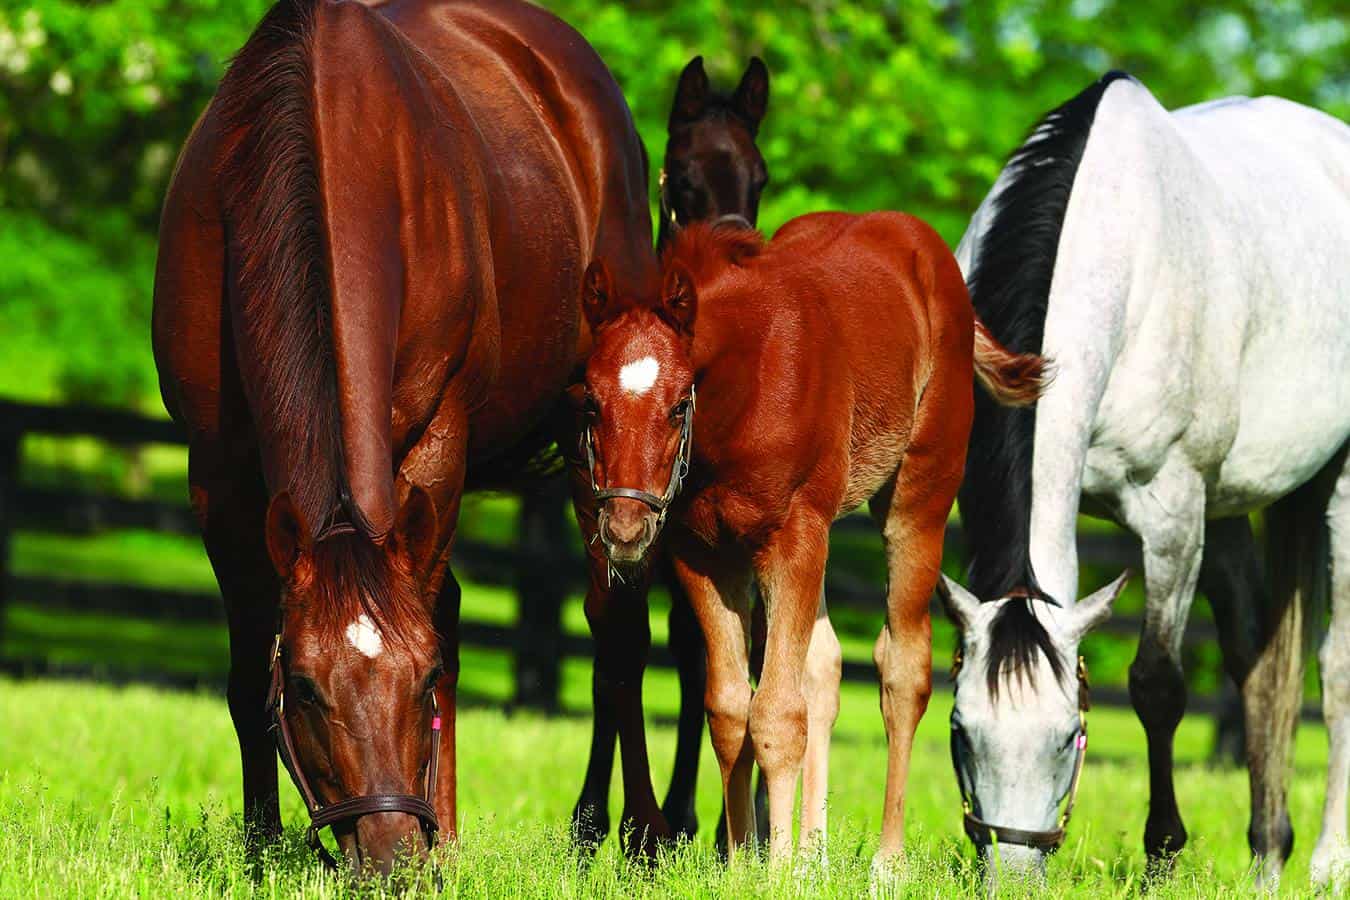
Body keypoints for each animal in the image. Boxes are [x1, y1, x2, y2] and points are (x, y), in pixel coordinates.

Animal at [151, 0, 654, 875]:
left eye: (419, 682)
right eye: (306, 687)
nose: (391, 858)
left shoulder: (438, 439)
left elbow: (445, 631)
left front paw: (443, 839)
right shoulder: (216, 473)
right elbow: (247, 674)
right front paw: (258, 850)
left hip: (596, 446)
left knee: (613, 625)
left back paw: (617, 833)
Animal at [570, 53, 772, 853]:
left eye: (760, 176)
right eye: (680, 177)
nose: (735, 257)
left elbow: (698, 651)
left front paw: (690, 822)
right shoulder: (612, 535)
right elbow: (619, 651)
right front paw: (618, 827)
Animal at [575, 217, 1045, 866]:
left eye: (676, 404)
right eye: (592, 403)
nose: (624, 527)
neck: (744, 392)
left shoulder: (793, 537)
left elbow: (776, 714)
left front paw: (770, 872)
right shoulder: (703, 553)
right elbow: (731, 710)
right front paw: (746, 864)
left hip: (918, 498)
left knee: (903, 670)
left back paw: (886, 864)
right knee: (824, 667)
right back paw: (811, 857)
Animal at [940, 70, 1350, 886]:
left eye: (1070, 735)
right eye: (962, 731)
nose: (1012, 875)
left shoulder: (1172, 515)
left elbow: (1158, 685)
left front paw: (1163, 853)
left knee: (1337, 669)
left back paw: (1326, 864)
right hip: (1232, 508)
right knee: (1259, 660)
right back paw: (1267, 857)